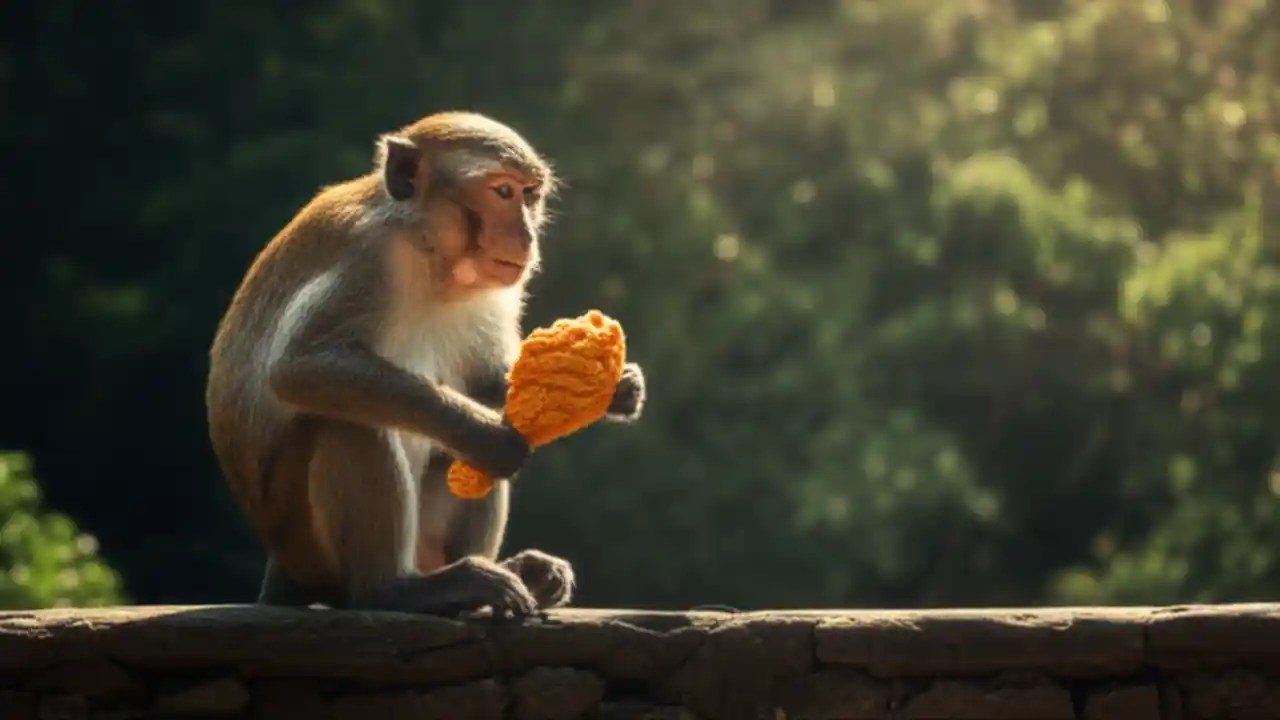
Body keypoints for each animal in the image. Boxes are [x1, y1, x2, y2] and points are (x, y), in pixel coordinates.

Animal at [205, 111, 646, 616]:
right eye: (502, 192)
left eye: (530, 194)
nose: (527, 236)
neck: (434, 259)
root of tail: (286, 568)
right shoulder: (368, 261)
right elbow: (299, 367)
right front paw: (484, 433)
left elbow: (487, 380)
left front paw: (618, 388)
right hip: (307, 542)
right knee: (348, 424)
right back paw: (397, 589)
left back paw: (508, 577)